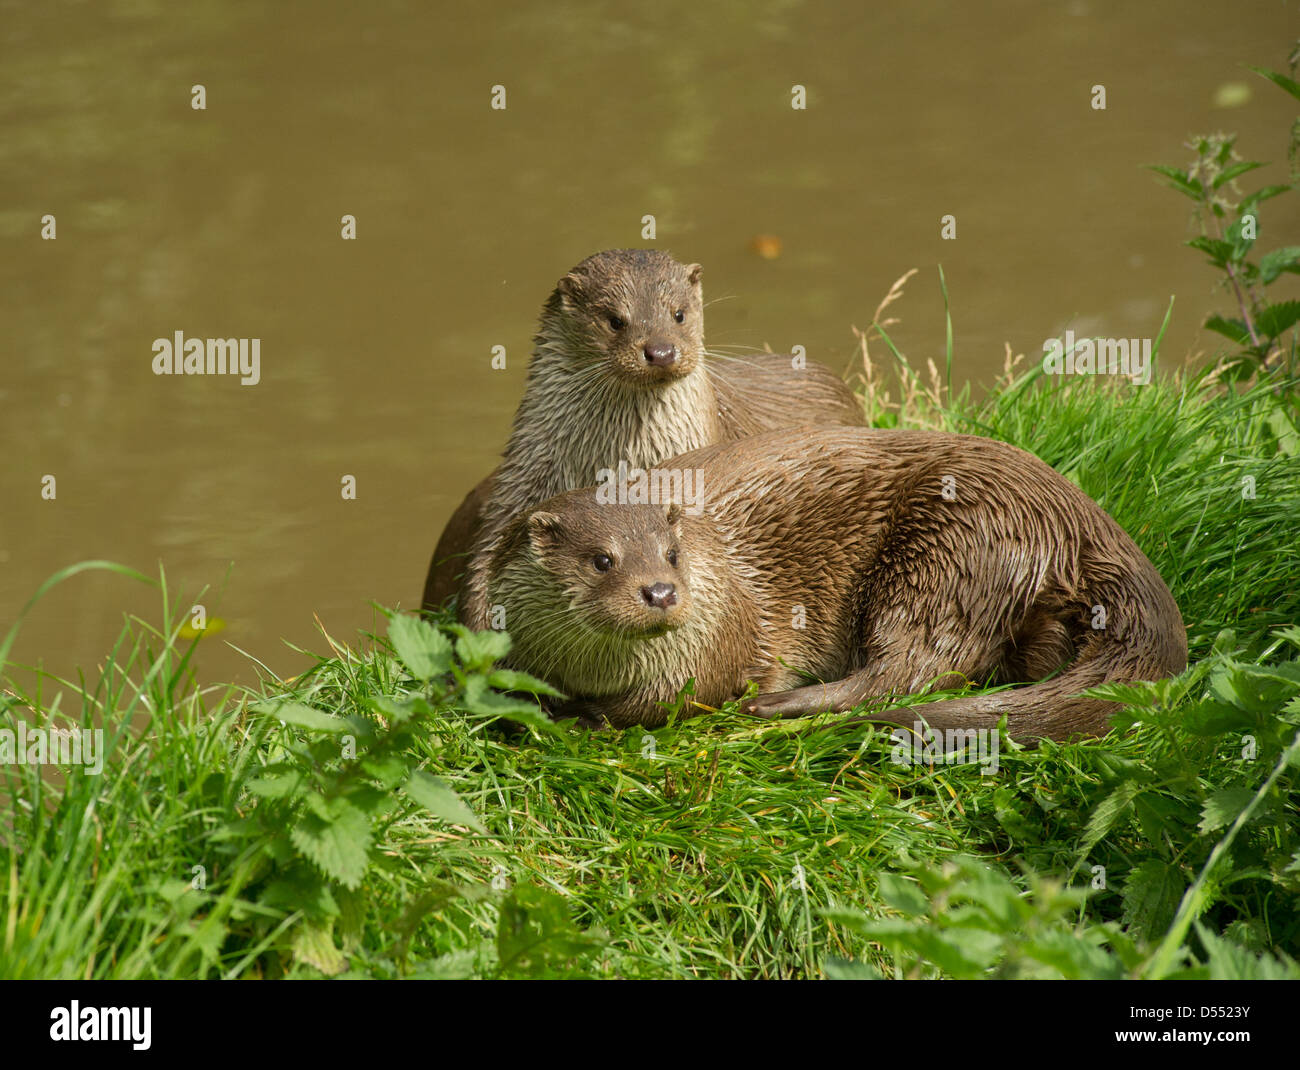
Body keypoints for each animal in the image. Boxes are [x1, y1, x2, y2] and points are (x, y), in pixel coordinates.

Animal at [420, 248, 864, 616]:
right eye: (615, 320)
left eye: (679, 314)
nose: (661, 350)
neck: (613, 459)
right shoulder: (526, 475)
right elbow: (489, 552)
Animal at [488, 428, 1187, 742]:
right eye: (602, 560)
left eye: (672, 553)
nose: (661, 592)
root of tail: (1073, 514)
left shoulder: (713, 650)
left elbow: (660, 706)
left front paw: (577, 716)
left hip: (951, 548)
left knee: (911, 670)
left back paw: (779, 707)